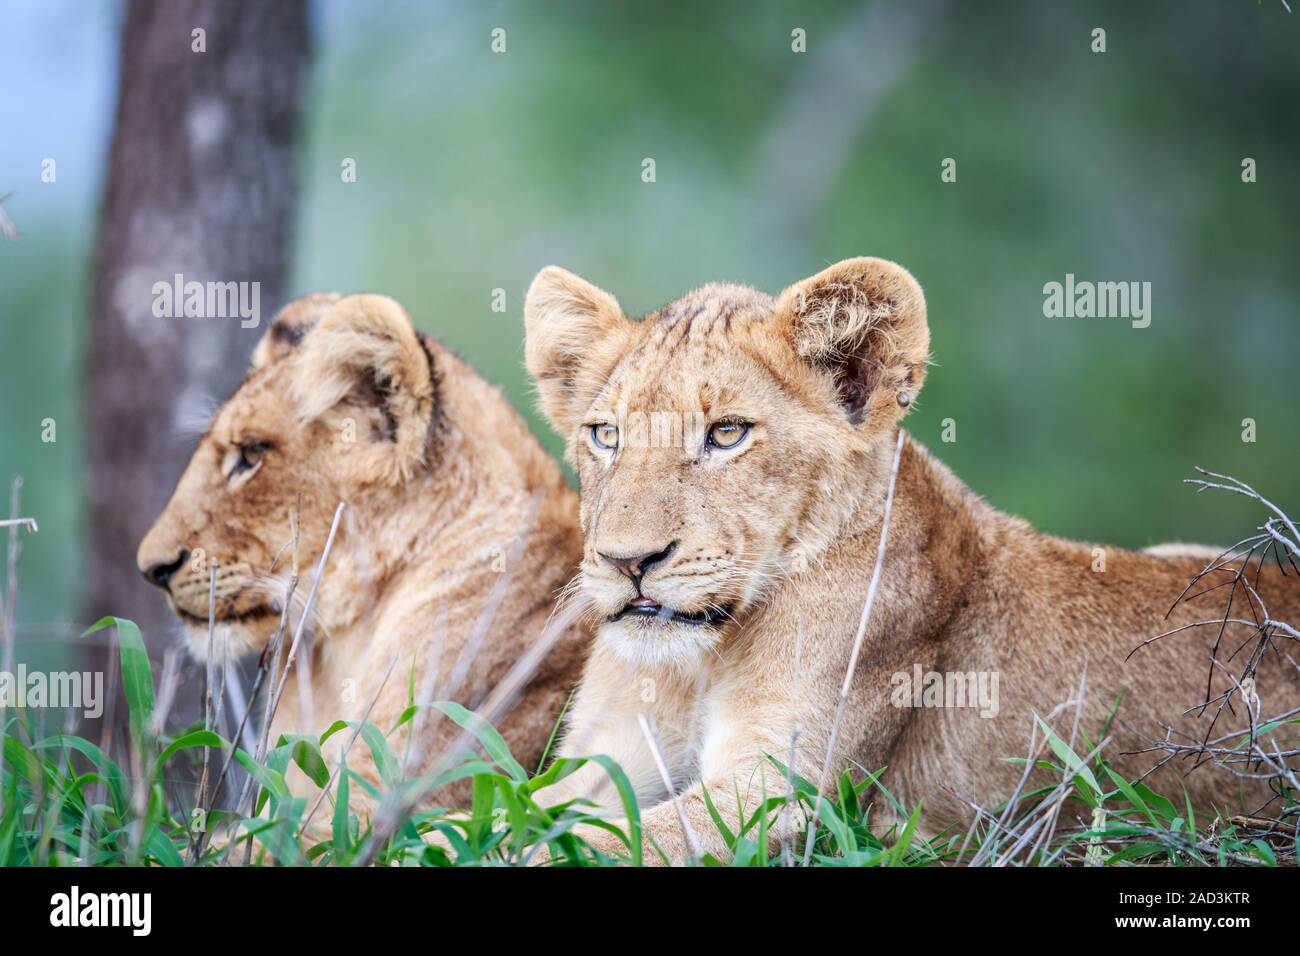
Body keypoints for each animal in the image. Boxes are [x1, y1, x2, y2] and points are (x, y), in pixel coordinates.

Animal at [522, 257, 1300, 864]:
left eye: (728, 433)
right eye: (605, 434)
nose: (628, 561)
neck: (700, 660)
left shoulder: (789, 796)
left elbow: (604, 840)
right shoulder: (605, 755)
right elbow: (512, 804)